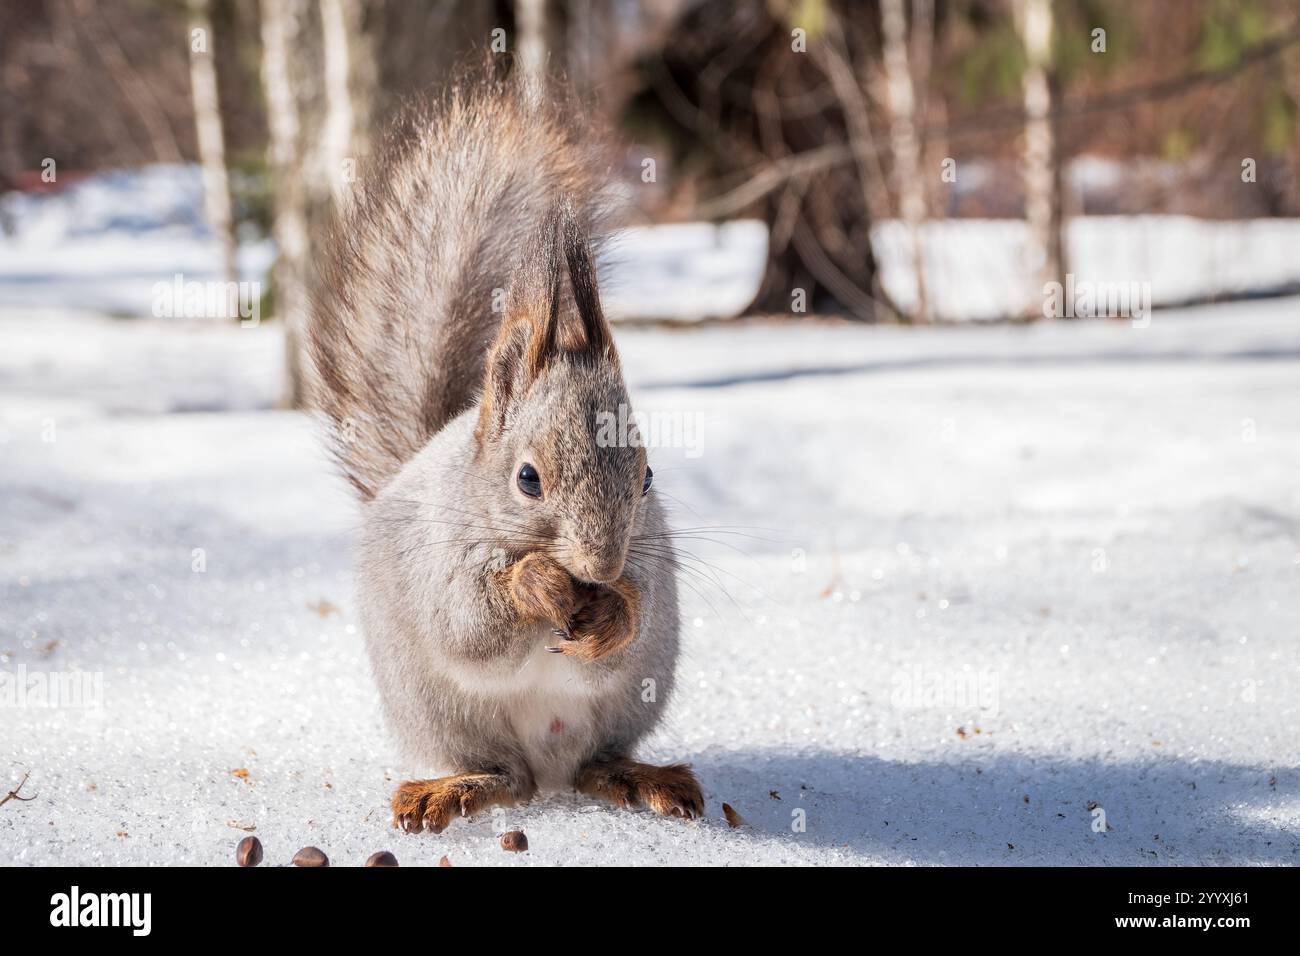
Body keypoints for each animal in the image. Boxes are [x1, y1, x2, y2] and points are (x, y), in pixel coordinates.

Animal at [308, 72, 702, 833]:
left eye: (647, 477)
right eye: (527, 479)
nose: (602, 565)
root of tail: (549, 770)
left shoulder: (644, 573)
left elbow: (621, 637)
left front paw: (612, 613)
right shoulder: (440, 561)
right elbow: (470, 627)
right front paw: (535, 584)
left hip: (624, 707)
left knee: (592, 763)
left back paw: (640, 777)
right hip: (445, 715)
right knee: (505, 776)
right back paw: (451, 790)